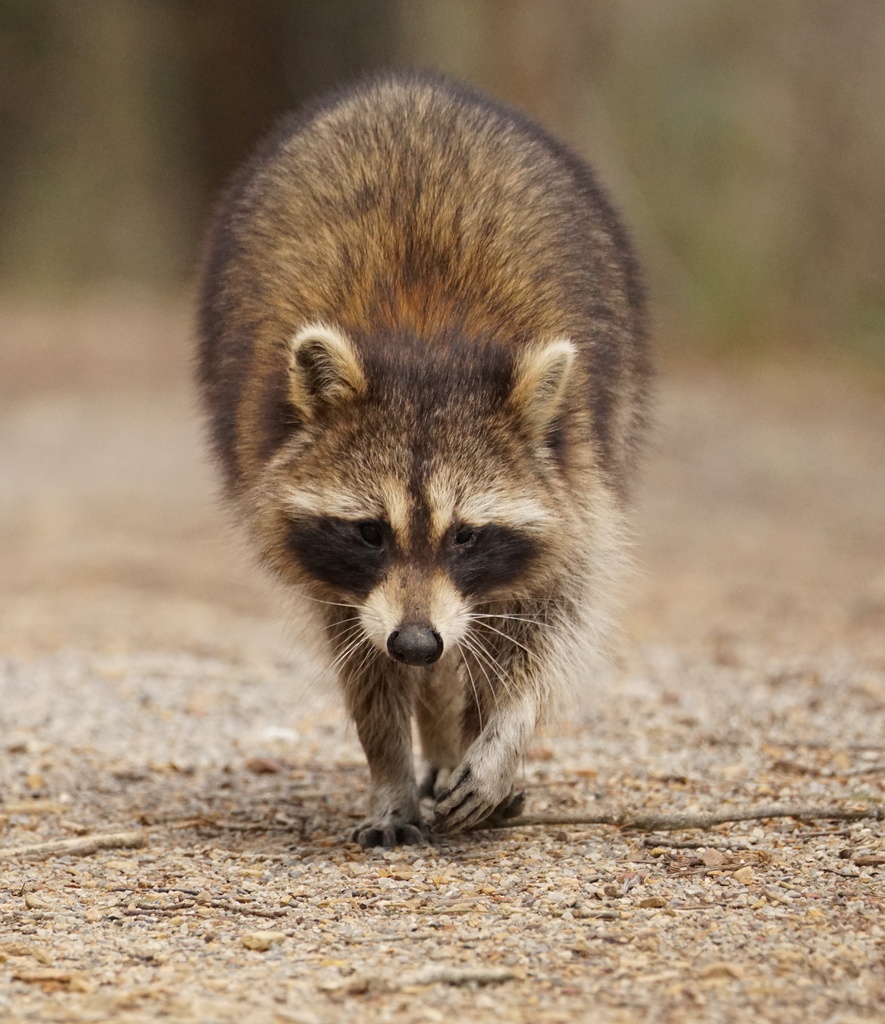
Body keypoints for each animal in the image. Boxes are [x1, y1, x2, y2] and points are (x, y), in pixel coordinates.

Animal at [197, 72, 649, 848]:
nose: (414, 642)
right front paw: (390, 769)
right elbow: (361, 660)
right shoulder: (331, 561)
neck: (425, 342)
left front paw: (501, 736)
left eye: (466, 535)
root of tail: (406, 88)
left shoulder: (578, 467)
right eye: (369, 532)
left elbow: (552, 617)